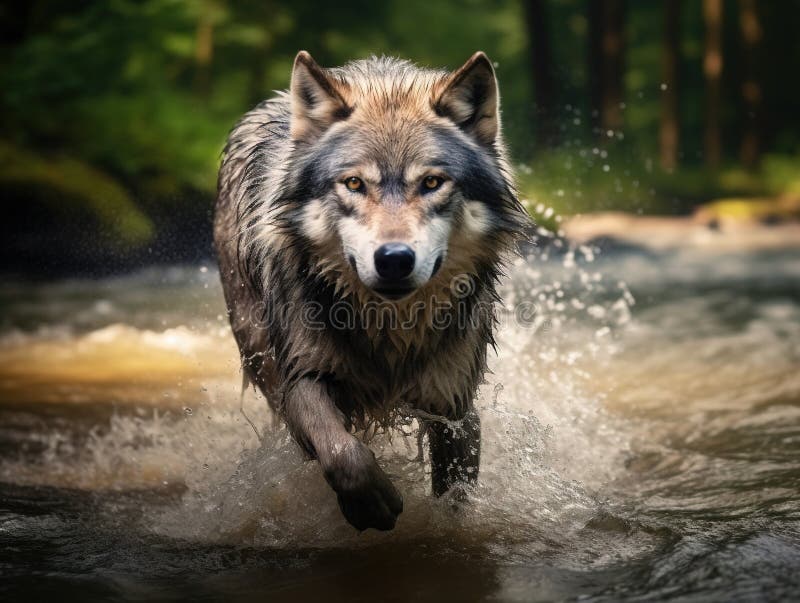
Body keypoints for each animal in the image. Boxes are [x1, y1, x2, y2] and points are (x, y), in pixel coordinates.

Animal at [214, 50, 528, 531]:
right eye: (354, 184)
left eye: (432, 183)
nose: (394, 258)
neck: (390, 334)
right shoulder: (302, 379)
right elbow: (345, 453)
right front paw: (371, 502)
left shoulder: (455, 408)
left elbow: (455, 499)